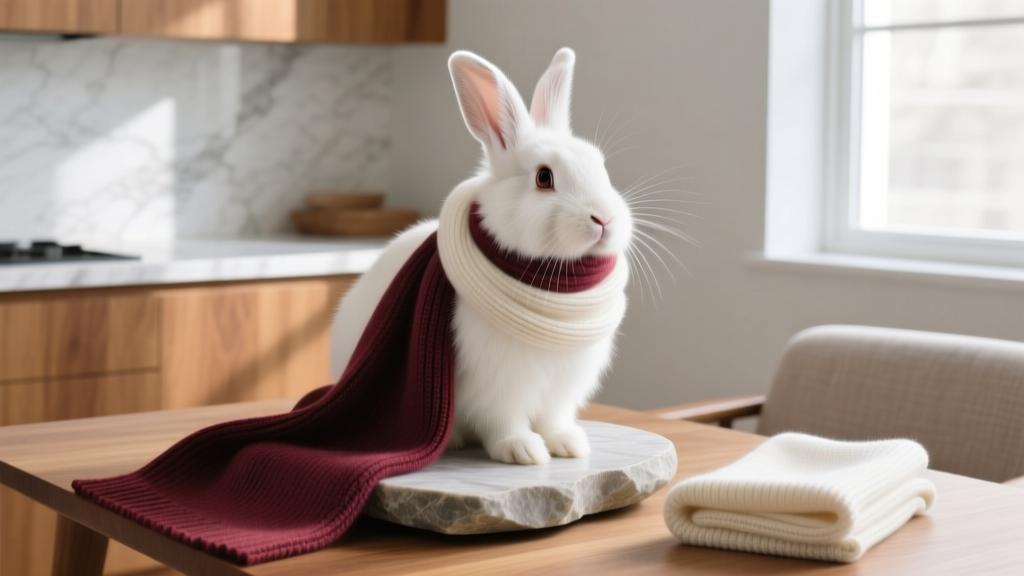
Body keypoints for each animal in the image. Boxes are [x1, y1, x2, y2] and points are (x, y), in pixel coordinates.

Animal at [329, 47, 632, 465]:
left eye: (601, 166)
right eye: (544, 178)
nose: (604, 219)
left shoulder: (561, 387)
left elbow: (553, 418)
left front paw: (569, 445)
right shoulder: (497, 385)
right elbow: (504, 421)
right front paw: (523, 451)